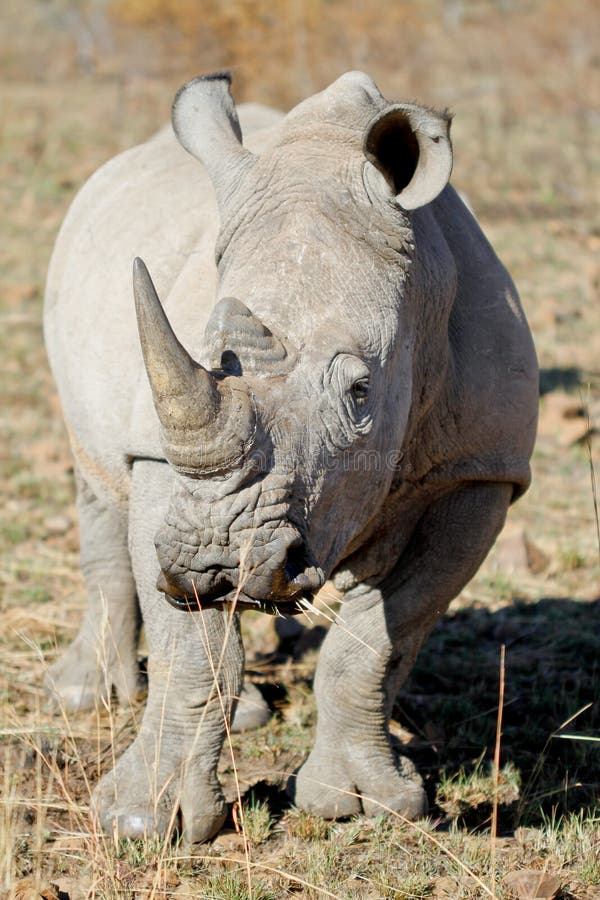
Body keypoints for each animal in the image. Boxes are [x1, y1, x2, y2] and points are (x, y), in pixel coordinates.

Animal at [44, 71, 538, 843]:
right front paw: (140, 821)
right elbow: (190, 646)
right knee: (95, 480)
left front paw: (364, 805)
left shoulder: (480, 470)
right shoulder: (161, 457)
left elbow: (380, 639)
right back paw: (83, 696)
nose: (215, 562)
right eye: (209, 354)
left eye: (361, 392)